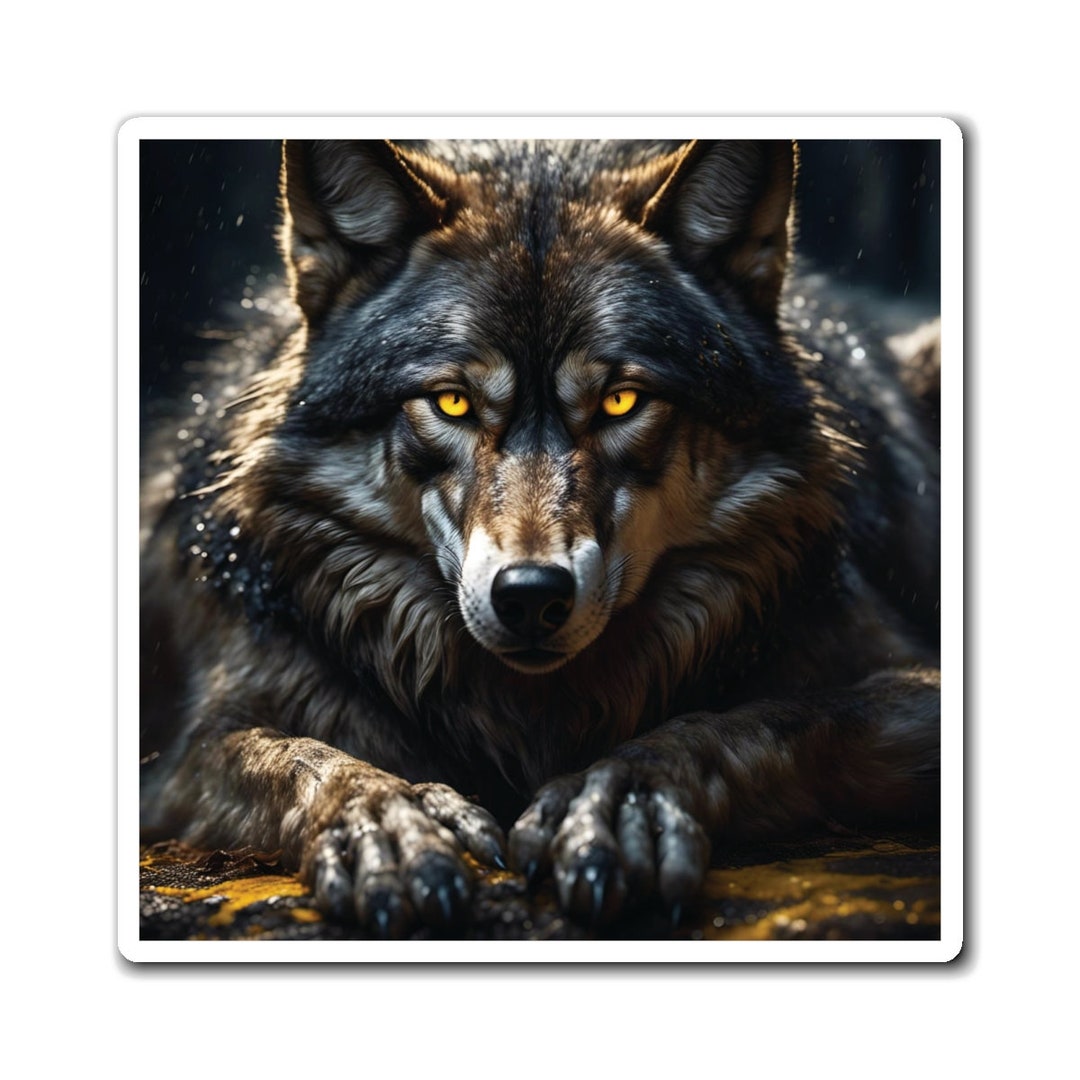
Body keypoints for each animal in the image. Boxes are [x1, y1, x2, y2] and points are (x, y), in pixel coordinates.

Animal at [140, 139, 940, 936]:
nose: (530, 595)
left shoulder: (909, 684)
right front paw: (384, 820)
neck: (529, 715)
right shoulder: (192, 750)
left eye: (621, 401)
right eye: (452, 402)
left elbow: (760, 720)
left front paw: (621, 798)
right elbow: (297, 758)